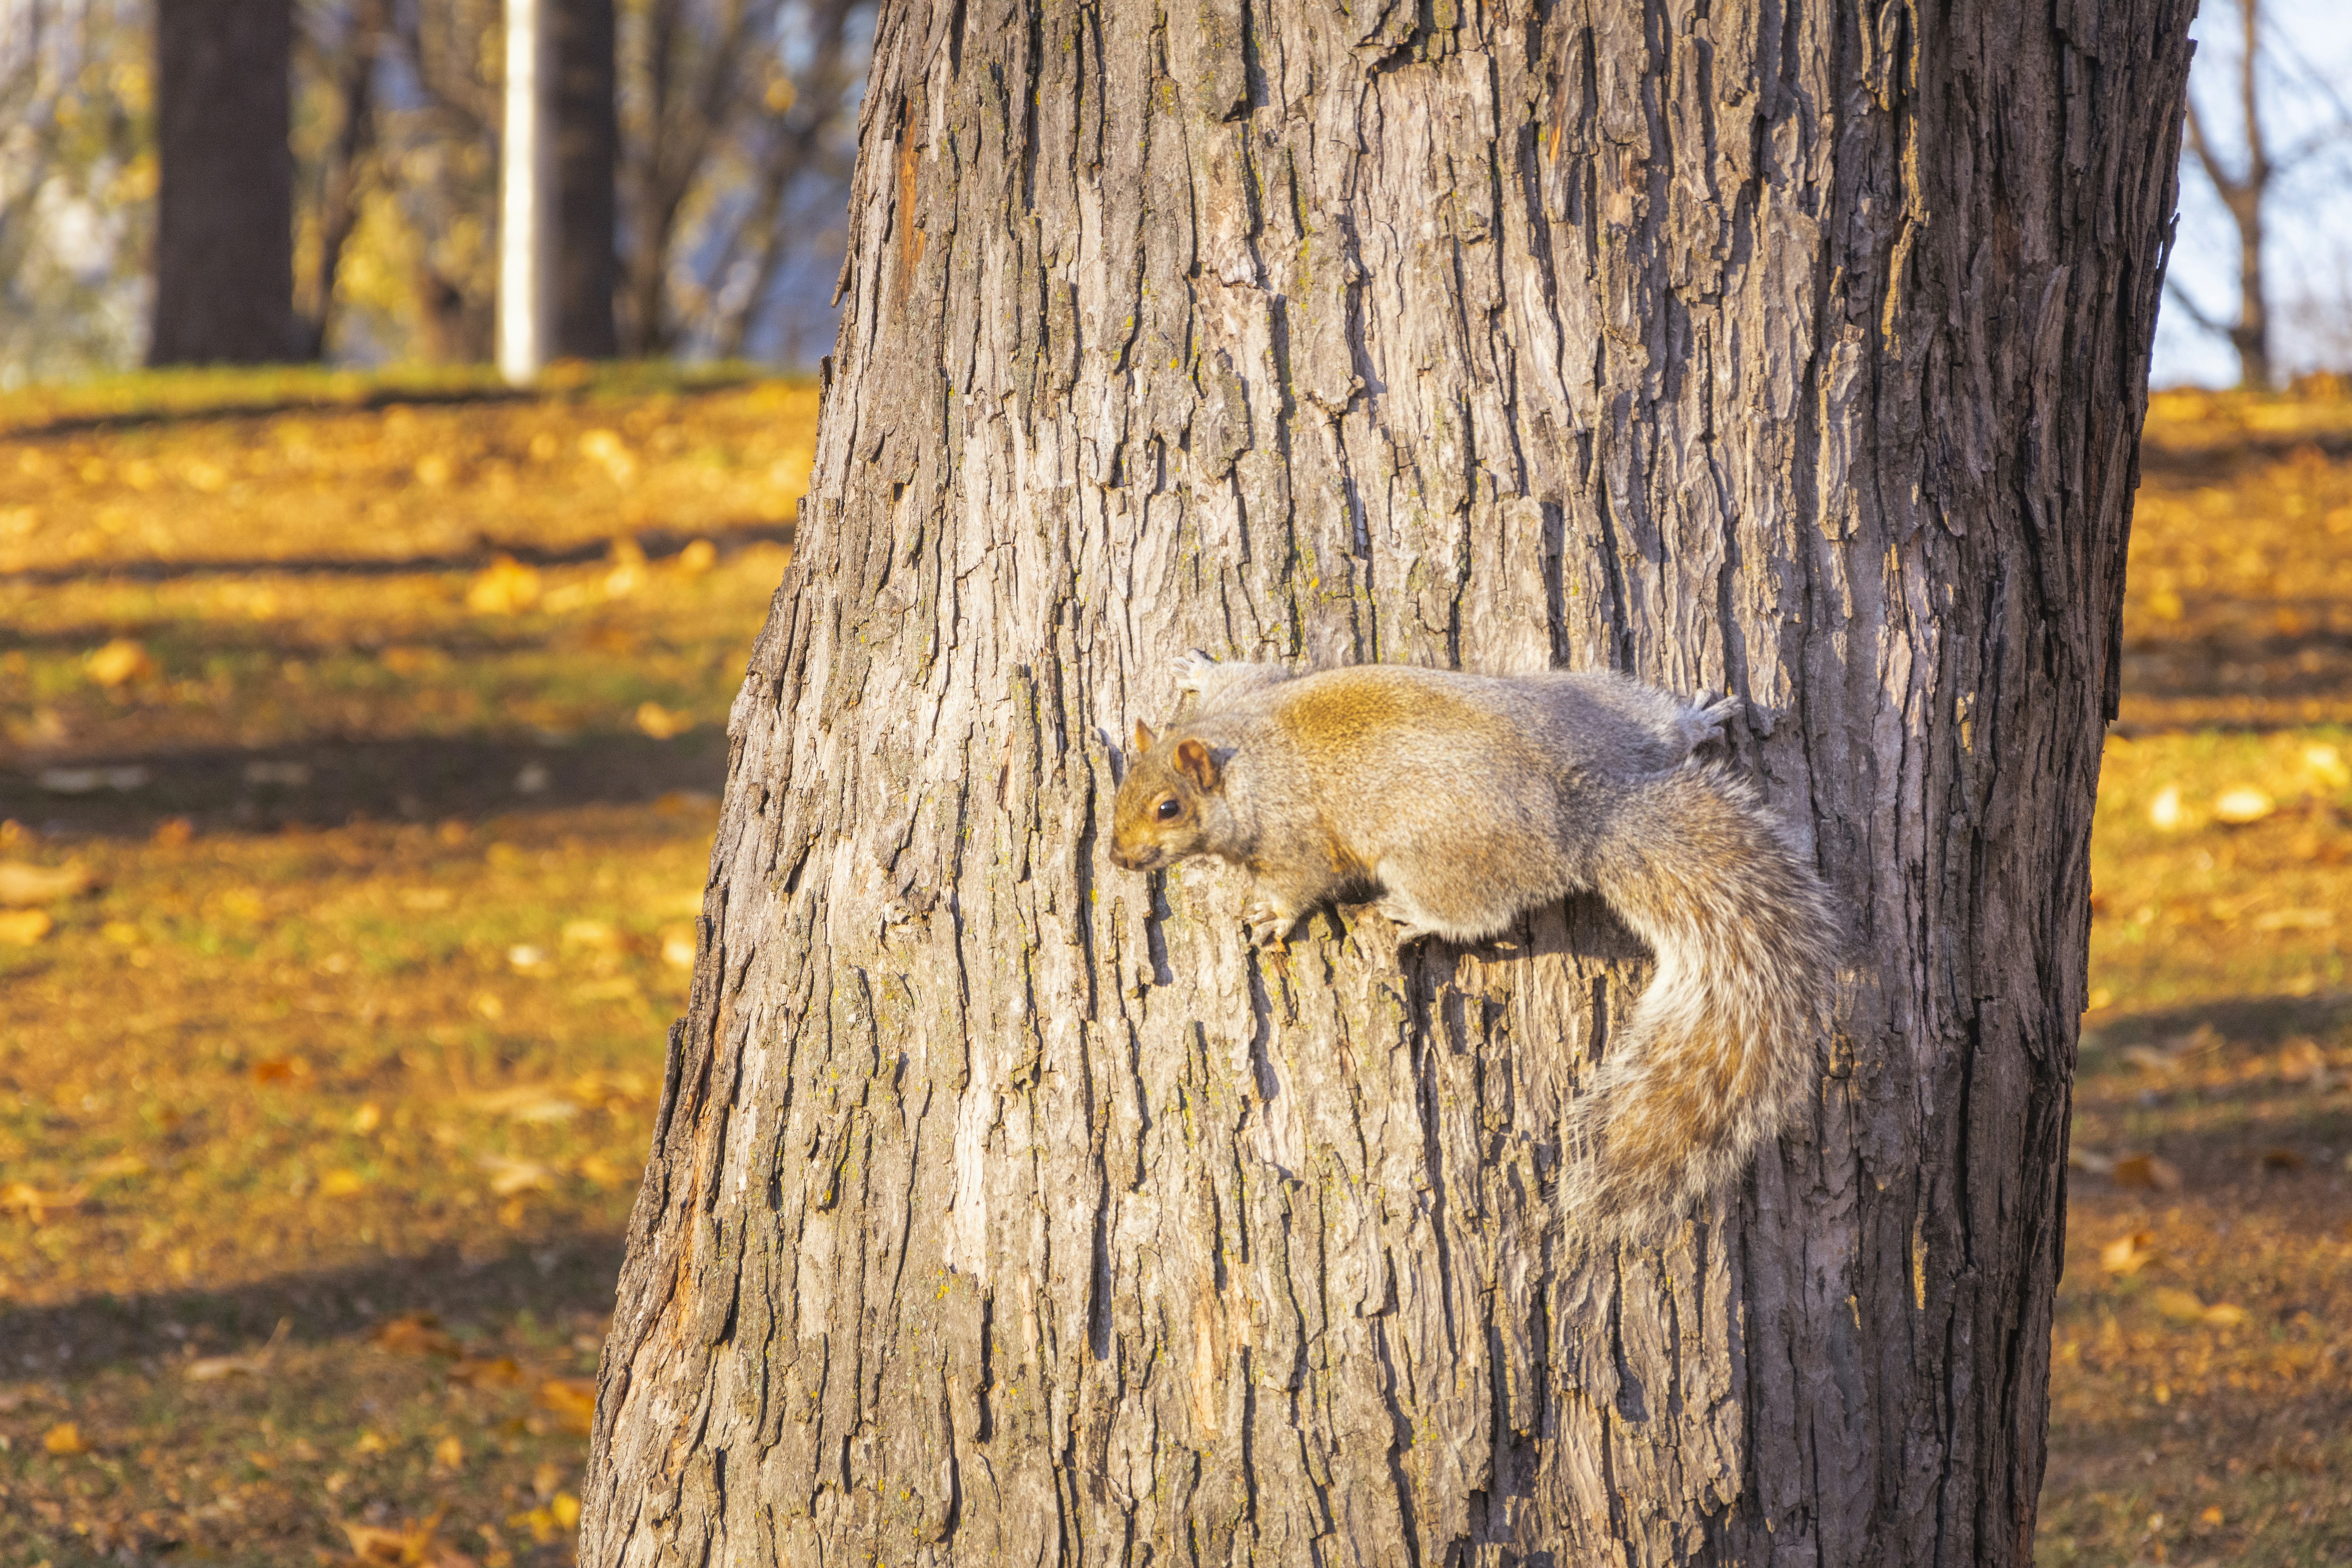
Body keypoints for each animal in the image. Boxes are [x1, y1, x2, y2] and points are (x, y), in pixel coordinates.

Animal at [1108, 652, 1838, 1239]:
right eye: (1123, 789)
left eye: (1169, 808)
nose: (1118, 858)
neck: (1243, 760)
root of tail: (1594, 809)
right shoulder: (1250, 695)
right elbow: (1247, 671)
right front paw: (1199, 669)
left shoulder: (1296, 843)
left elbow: (1299, 885)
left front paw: (1270, 916)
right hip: (1586, 699)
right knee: (1655, 726)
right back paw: (1693, 719)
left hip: (1440, 859)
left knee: (1478, 911)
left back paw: (1412, 917)